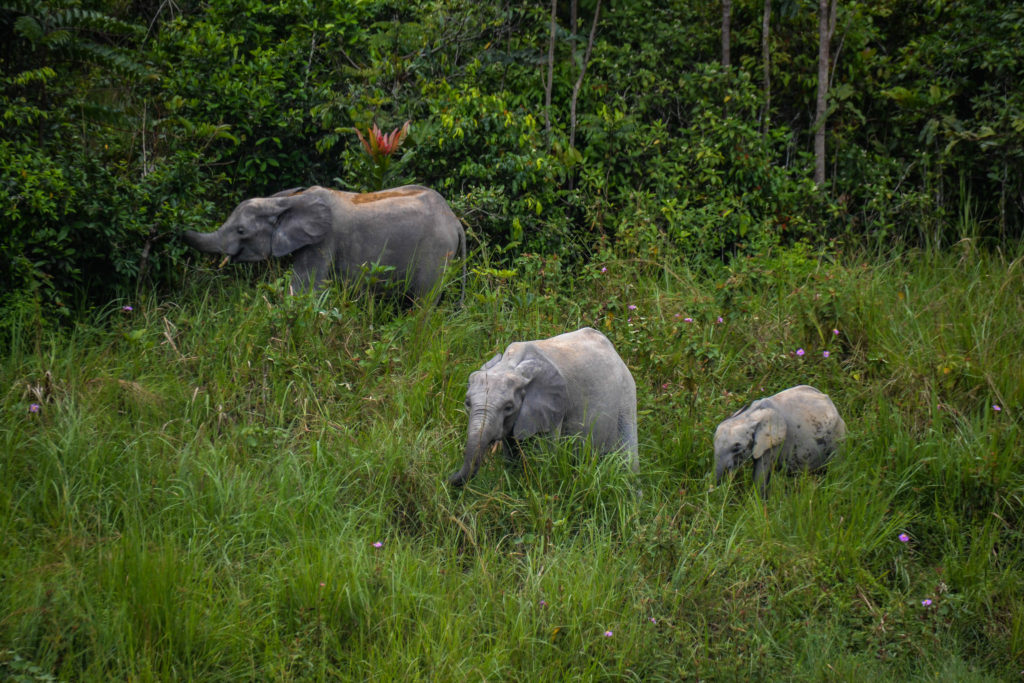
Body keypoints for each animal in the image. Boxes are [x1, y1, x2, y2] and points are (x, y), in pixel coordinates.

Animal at [182, 184, 465, 301]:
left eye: (241, 230)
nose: (179, 230)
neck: (286, 200)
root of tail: (455, 221)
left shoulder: (323, 240)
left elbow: (303, 289)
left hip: (436, 251)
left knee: (423, 303)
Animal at [449, 327, 639, 487]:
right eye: (467, 403)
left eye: (508, 407)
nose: (448, 476)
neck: (509, 365)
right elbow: (512, 451)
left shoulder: (554, 408)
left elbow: (544, 455)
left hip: (626, 396)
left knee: (628, 455)